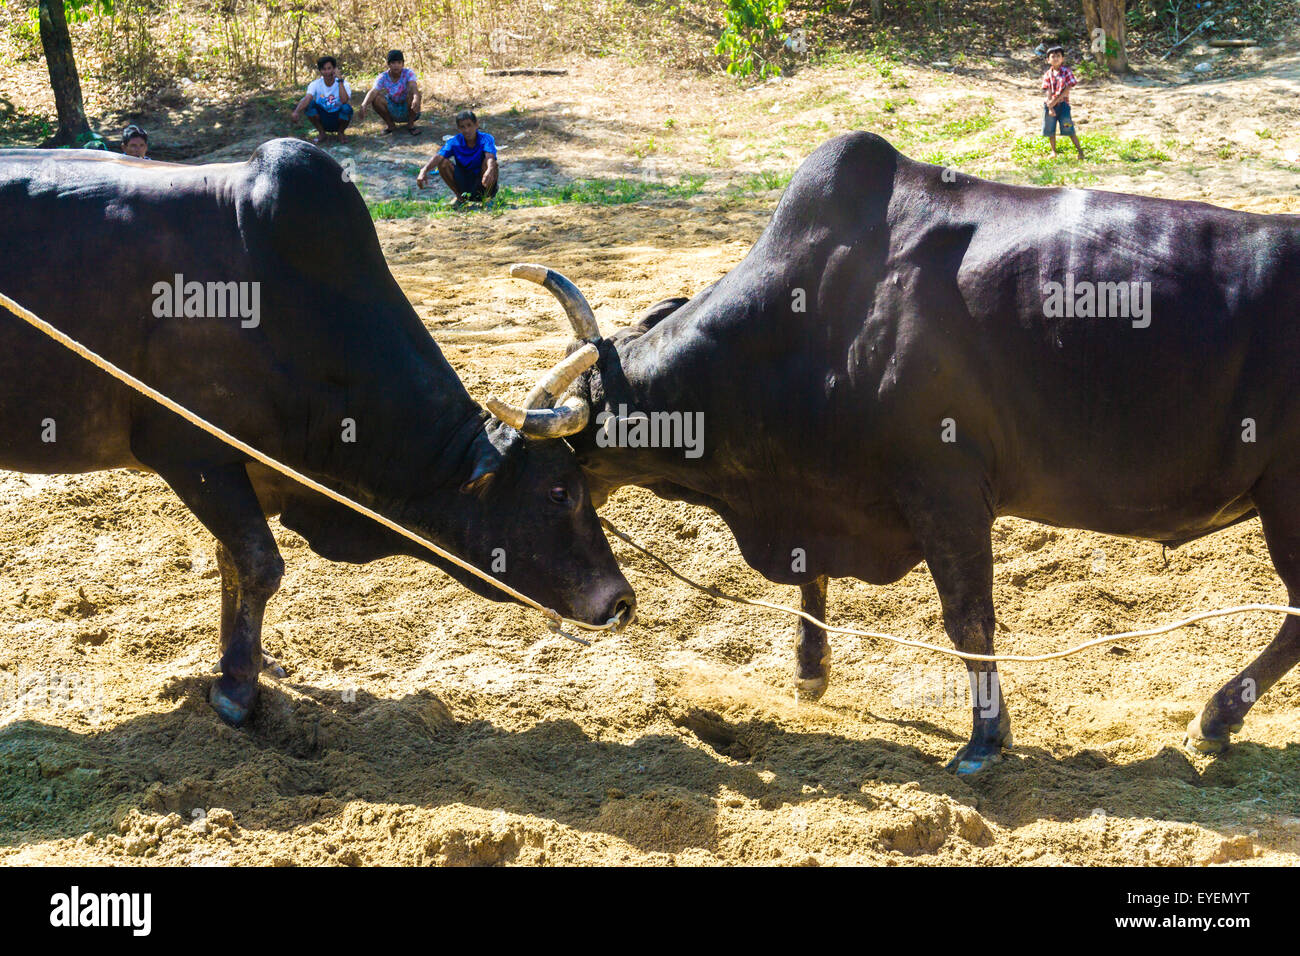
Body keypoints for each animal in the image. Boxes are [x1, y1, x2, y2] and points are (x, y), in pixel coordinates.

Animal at [0, 139, 634, 726]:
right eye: (559, 491)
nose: (622, 601)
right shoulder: (193, 454)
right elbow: (260, 563)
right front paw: (236, 688)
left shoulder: (253, 469)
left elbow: (232, 562)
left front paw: (250, 662)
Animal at [490, 131, 1300, 774]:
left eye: (566, 467)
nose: (499, 456)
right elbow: (813, 583)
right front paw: (810, 676)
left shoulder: (945, 491)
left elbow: (969, 619)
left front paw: (985, 741)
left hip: (1285, 503)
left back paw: (1213, 719)